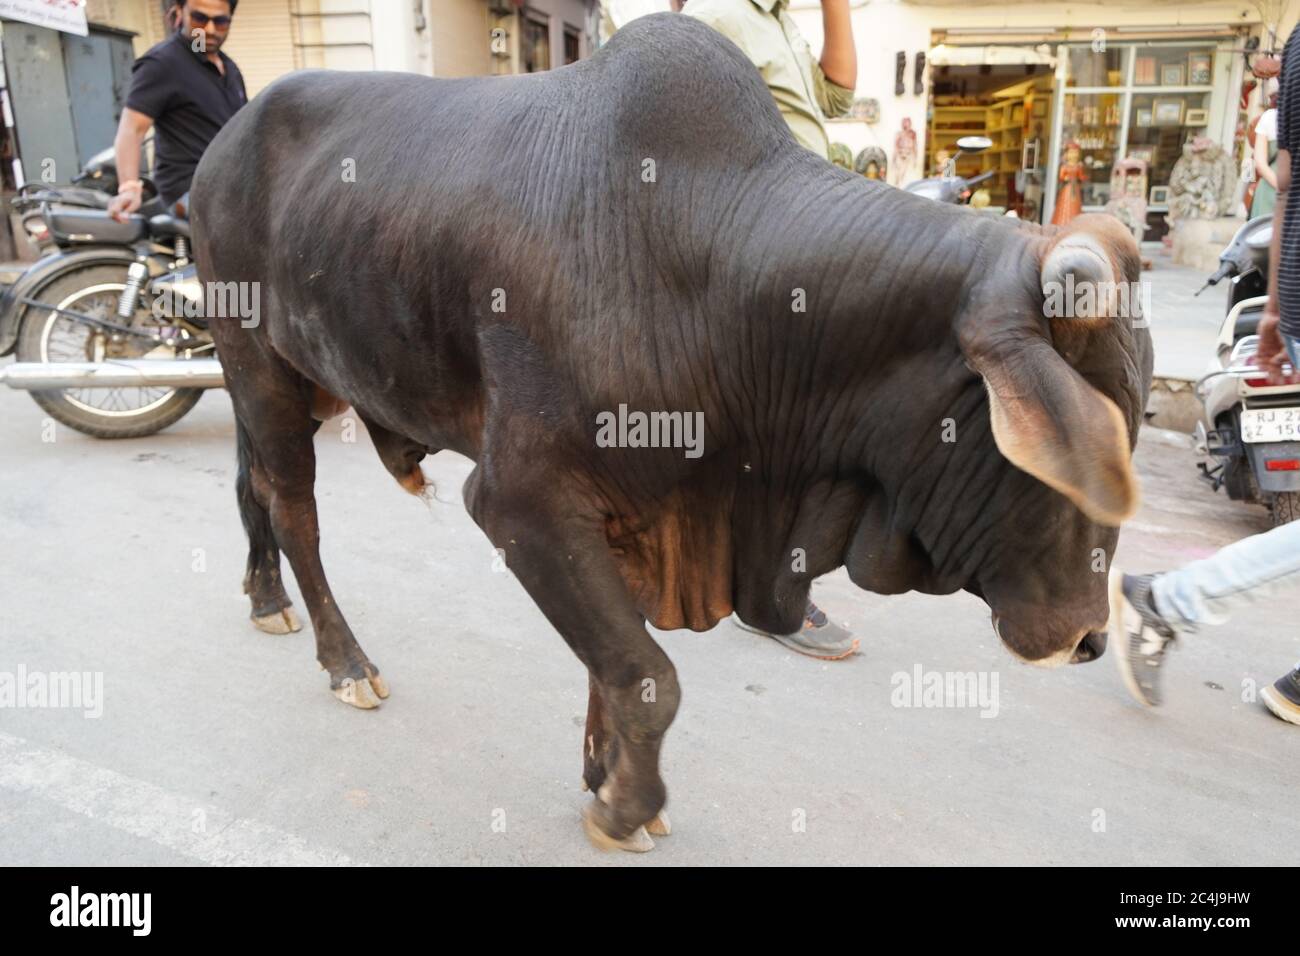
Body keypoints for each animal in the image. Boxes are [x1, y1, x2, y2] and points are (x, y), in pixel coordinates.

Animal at [191, 13, 1152, 851]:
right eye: (1078, 452)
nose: (1089, 639)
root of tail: (225, 141)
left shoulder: (627, 515)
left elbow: (611, 667)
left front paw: (602, 774)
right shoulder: (519, 501)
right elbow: (648, 675)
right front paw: (625, 807)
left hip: (301, 380)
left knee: (251, 483)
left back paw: (264, 598)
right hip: (256, 360)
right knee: (295, 510)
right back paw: (345, 661)